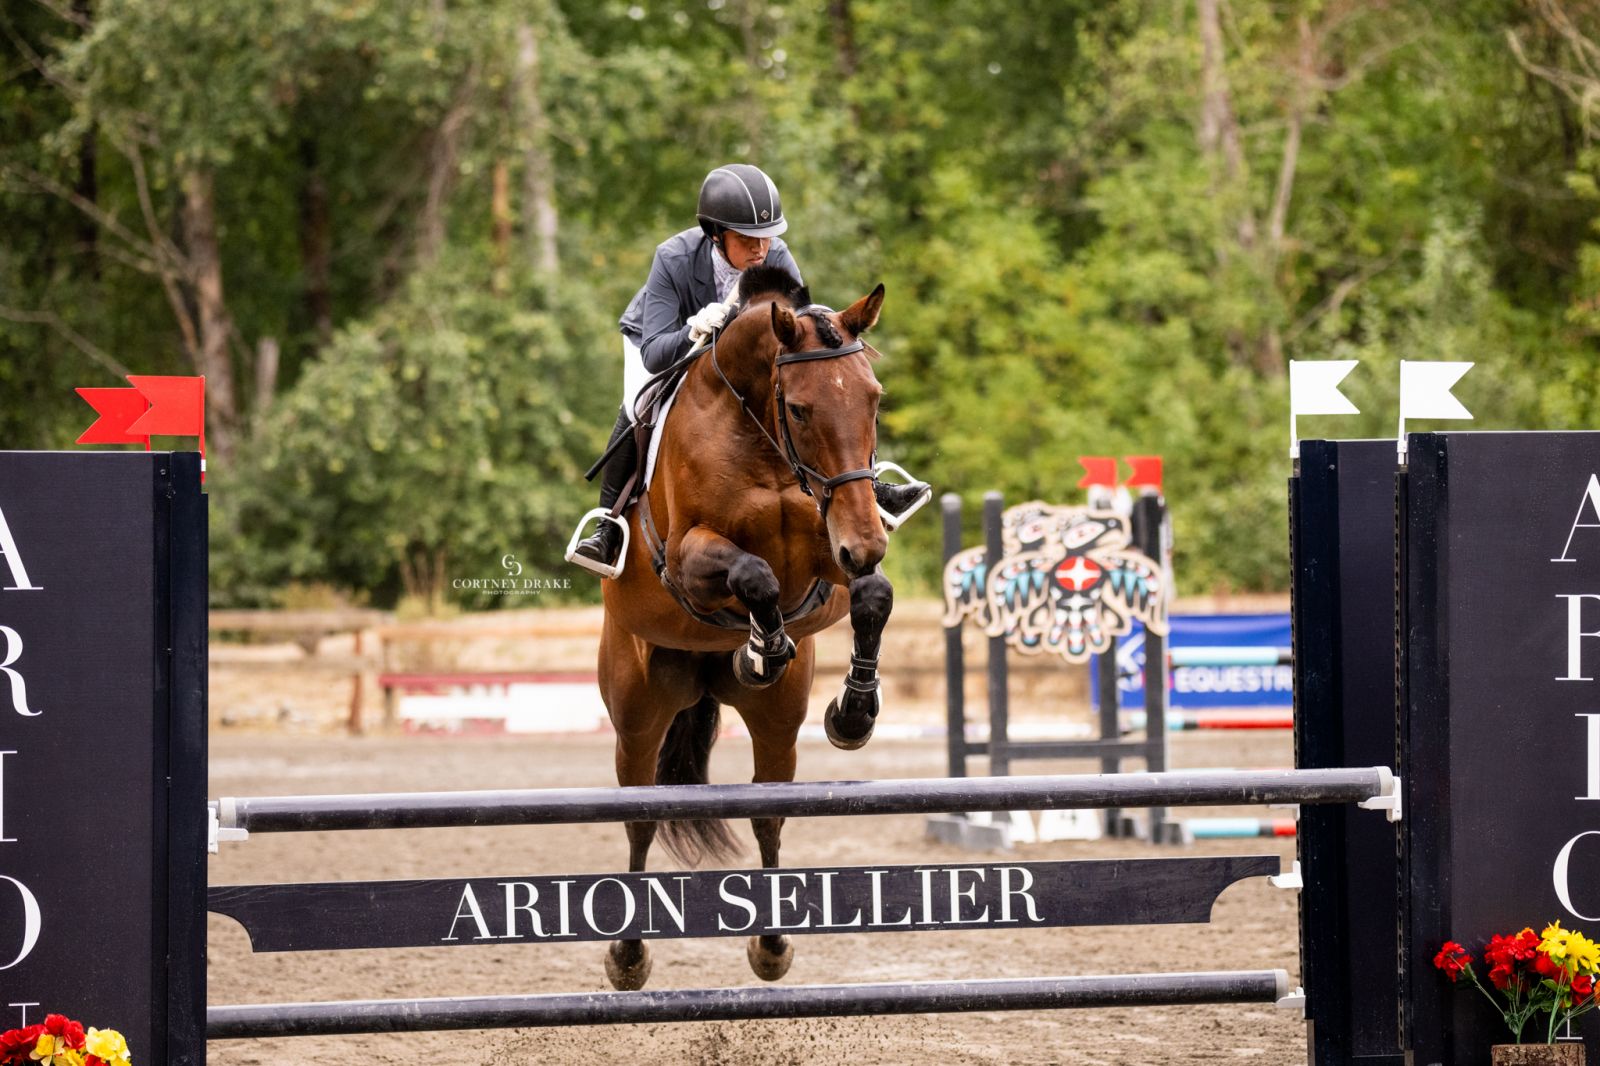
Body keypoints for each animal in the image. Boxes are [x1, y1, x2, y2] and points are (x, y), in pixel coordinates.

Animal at [596, 265, 895, 991]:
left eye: (873, 399)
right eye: (801, 410)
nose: (868, 543)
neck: (762, 439)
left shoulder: (830, 556)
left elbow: (872, 594)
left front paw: (854, 712)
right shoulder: (688, 559)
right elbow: (755, 576)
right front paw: (760, 649)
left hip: (777, 724)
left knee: (767, 812)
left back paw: (771, 942)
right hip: (637, 715)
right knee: (640, 818)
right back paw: (628, 955)